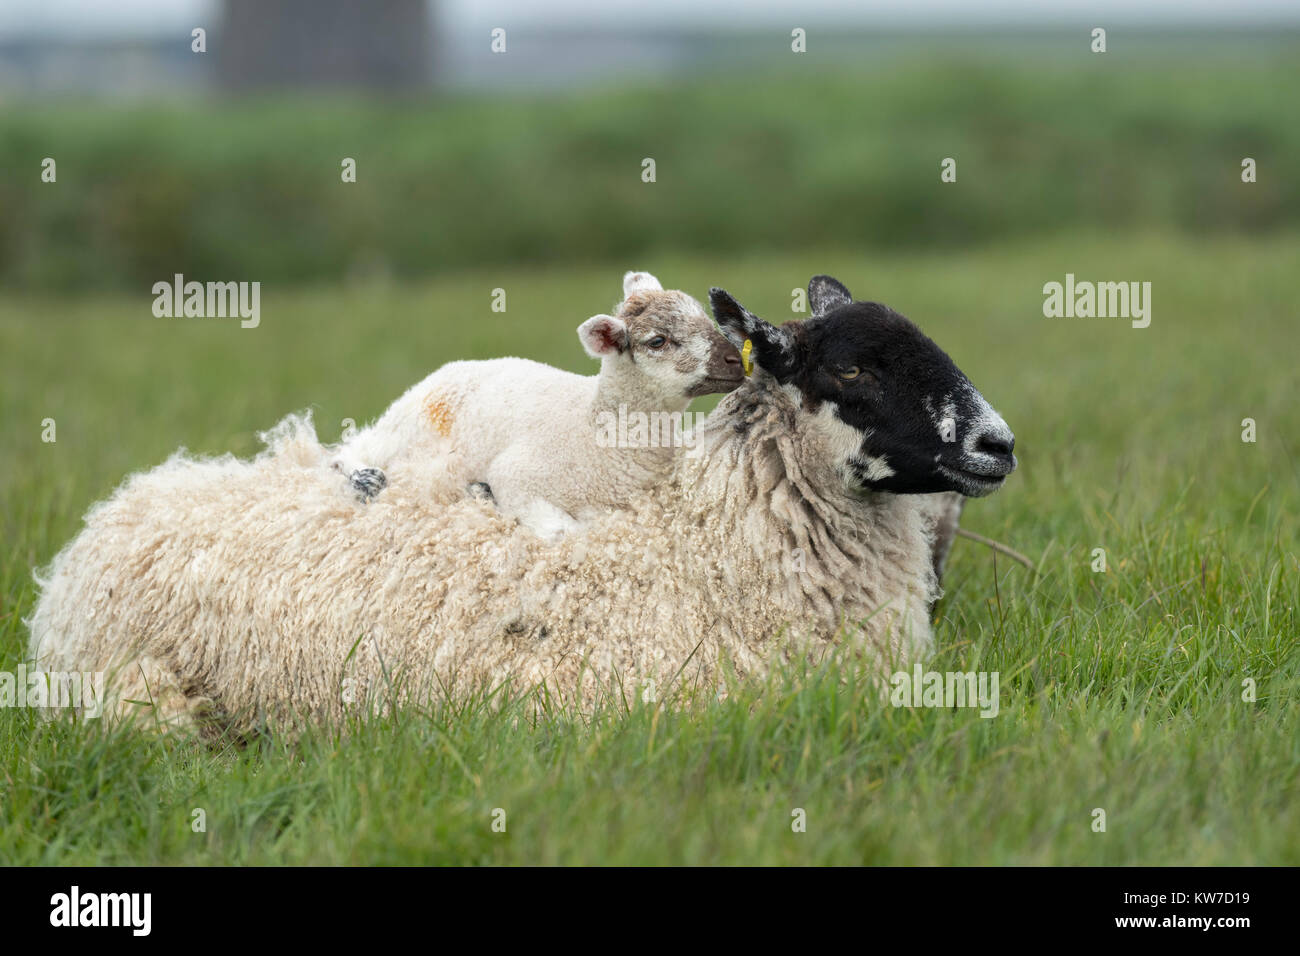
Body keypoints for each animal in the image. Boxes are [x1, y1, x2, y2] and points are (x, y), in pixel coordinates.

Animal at [331, 270, 743, 539]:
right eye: (658, 341)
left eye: (705, 317)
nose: (737, 360)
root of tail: (450, 368)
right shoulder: (517, 475)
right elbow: (566, 533)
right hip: (412, 420)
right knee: (349, 450)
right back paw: (366, 477)